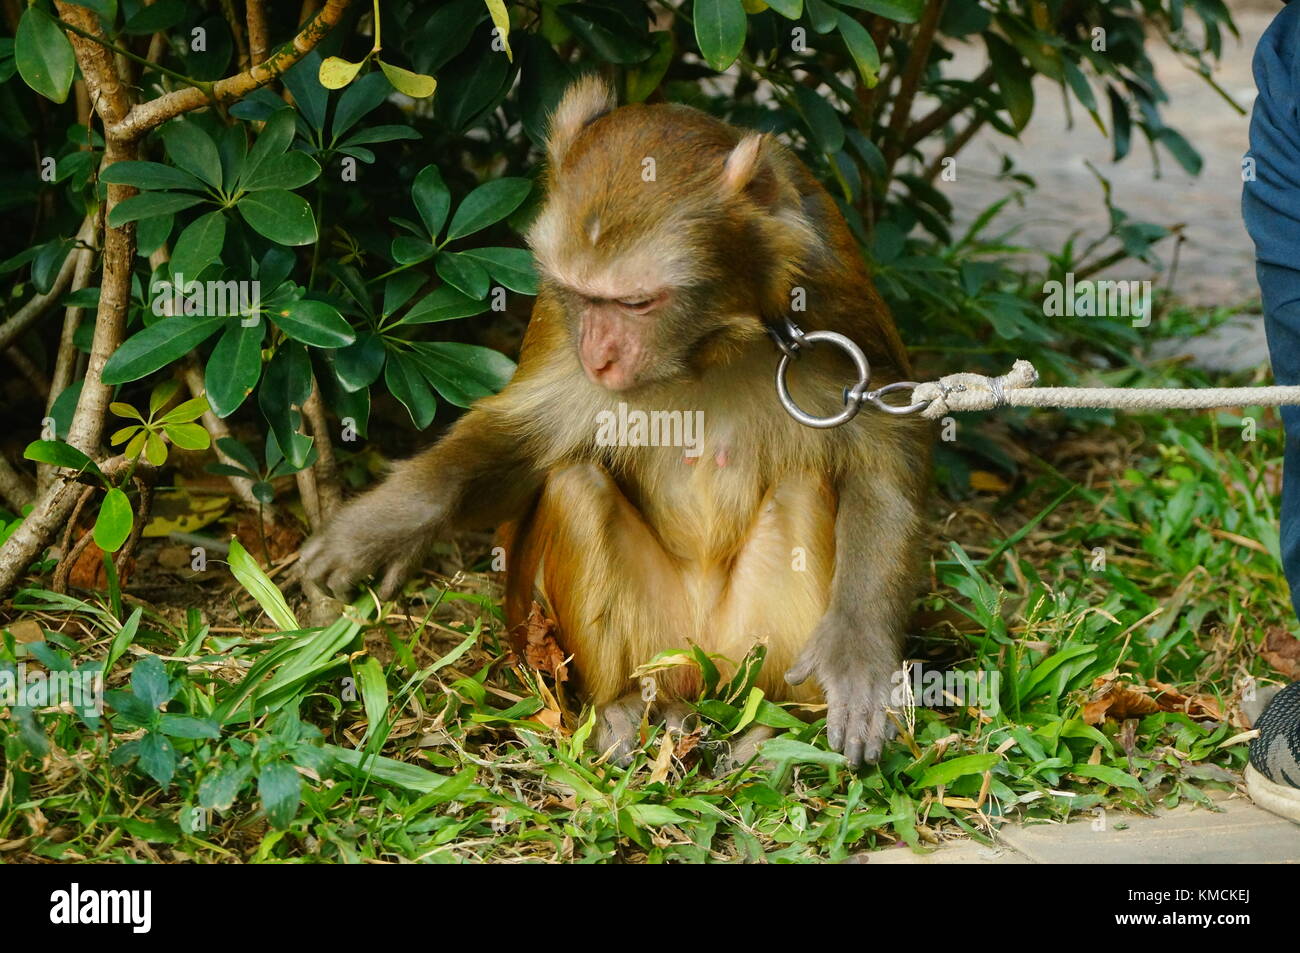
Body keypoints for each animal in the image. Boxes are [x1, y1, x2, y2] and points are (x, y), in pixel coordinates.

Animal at [301, 76, 932, 767]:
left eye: (635, 303)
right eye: (582, 295)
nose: (597, 356)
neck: (709, 343)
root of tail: (698, 669)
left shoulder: (831, 295)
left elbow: (884, 460)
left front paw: (857, 654)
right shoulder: (557, 323)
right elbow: (527, 443)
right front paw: (383, 527)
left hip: (747, 651)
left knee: (803, 483)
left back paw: (774, 727)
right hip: (657, 644)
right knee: (578, 485)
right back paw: (621, 707)